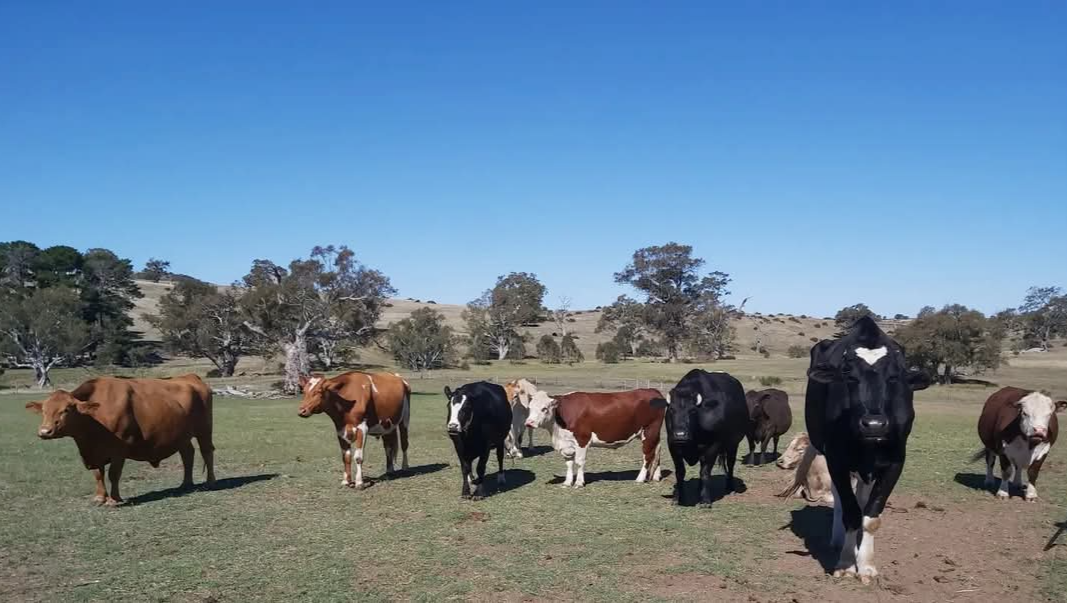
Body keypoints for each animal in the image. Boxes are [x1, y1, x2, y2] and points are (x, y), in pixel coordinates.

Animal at [25, 374, 215, 506]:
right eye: (44, 410)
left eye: (66, 410)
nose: (45, 431)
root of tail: (190, 377)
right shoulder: (94, 453)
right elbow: (98, 474)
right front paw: (99, 498)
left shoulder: (119, 450)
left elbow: (113, 474)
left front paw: (113, 499)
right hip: (182, 436)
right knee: (187, 454)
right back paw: (185, 484)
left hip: (204, 430)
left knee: (207, 452)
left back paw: (210, 482)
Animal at [524, 389, 664, 488]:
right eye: (529, 408)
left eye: (544, 409)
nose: (529, 423)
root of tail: (653, 391)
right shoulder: (566, 444)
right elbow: (569, 463)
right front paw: (567, 482)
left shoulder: (582, 439)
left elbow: (579, 462)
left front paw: (579, 482)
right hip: (652, 434)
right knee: (657, 451)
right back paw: (656, 476)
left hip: (650, 431)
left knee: (648, 455)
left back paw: (640, 479)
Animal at [662, 369, 749, 506]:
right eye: (671, 409)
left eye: (692, 410)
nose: (680, 435)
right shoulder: (672, 445)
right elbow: (680, 472)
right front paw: (677, 498)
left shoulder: (713, 446)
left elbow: (705, 472)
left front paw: (705, 500)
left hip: (733, 444)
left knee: (730, 464)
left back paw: (729, 486)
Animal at [805, 316, 930, 583]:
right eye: (849, 377)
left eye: (893, 378)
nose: (873, 424)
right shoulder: (837, 460)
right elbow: (851, 513)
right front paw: (846, 563)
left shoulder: (895, 462)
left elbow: (871, 516)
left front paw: (867, 564)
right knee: (842, 500)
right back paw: (839, 539)